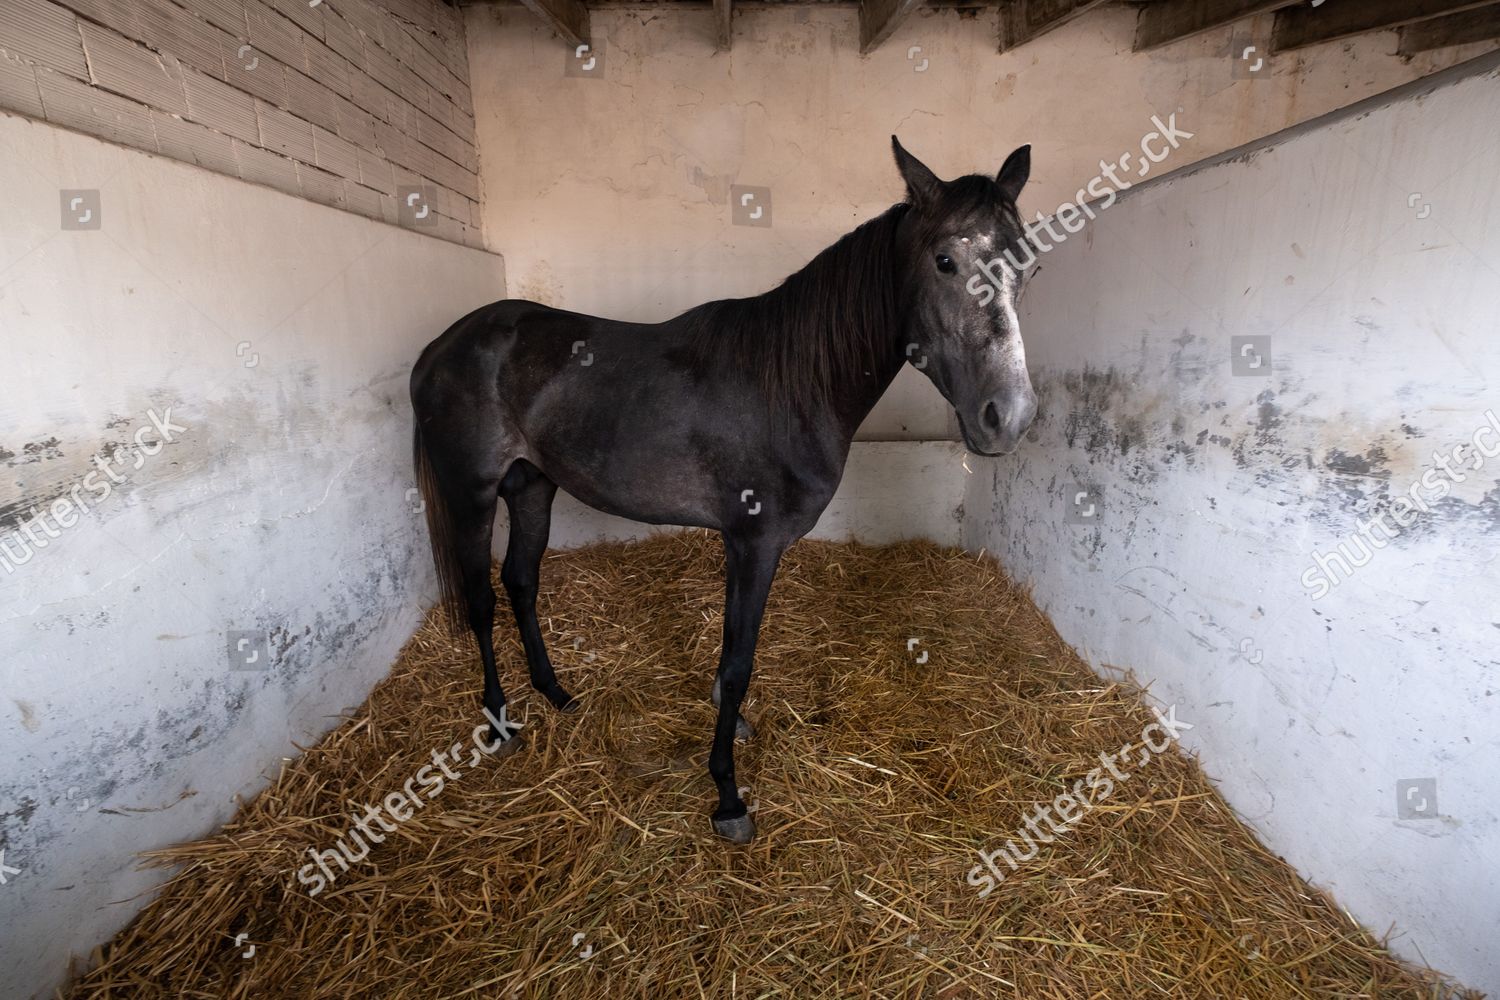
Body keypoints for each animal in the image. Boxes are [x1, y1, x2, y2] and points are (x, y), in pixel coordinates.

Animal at [410, 137, 1037, 843]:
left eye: (1028, 265)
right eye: (945, 260)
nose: (1008, 417)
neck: (791, 382)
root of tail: (441, 347)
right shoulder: (753, 542)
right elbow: (738, 663)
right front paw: (728, 796)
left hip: (532, 487)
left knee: (521, 581)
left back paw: (558, 695)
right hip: (471, 495)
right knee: (480, 600)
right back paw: (499, 723)